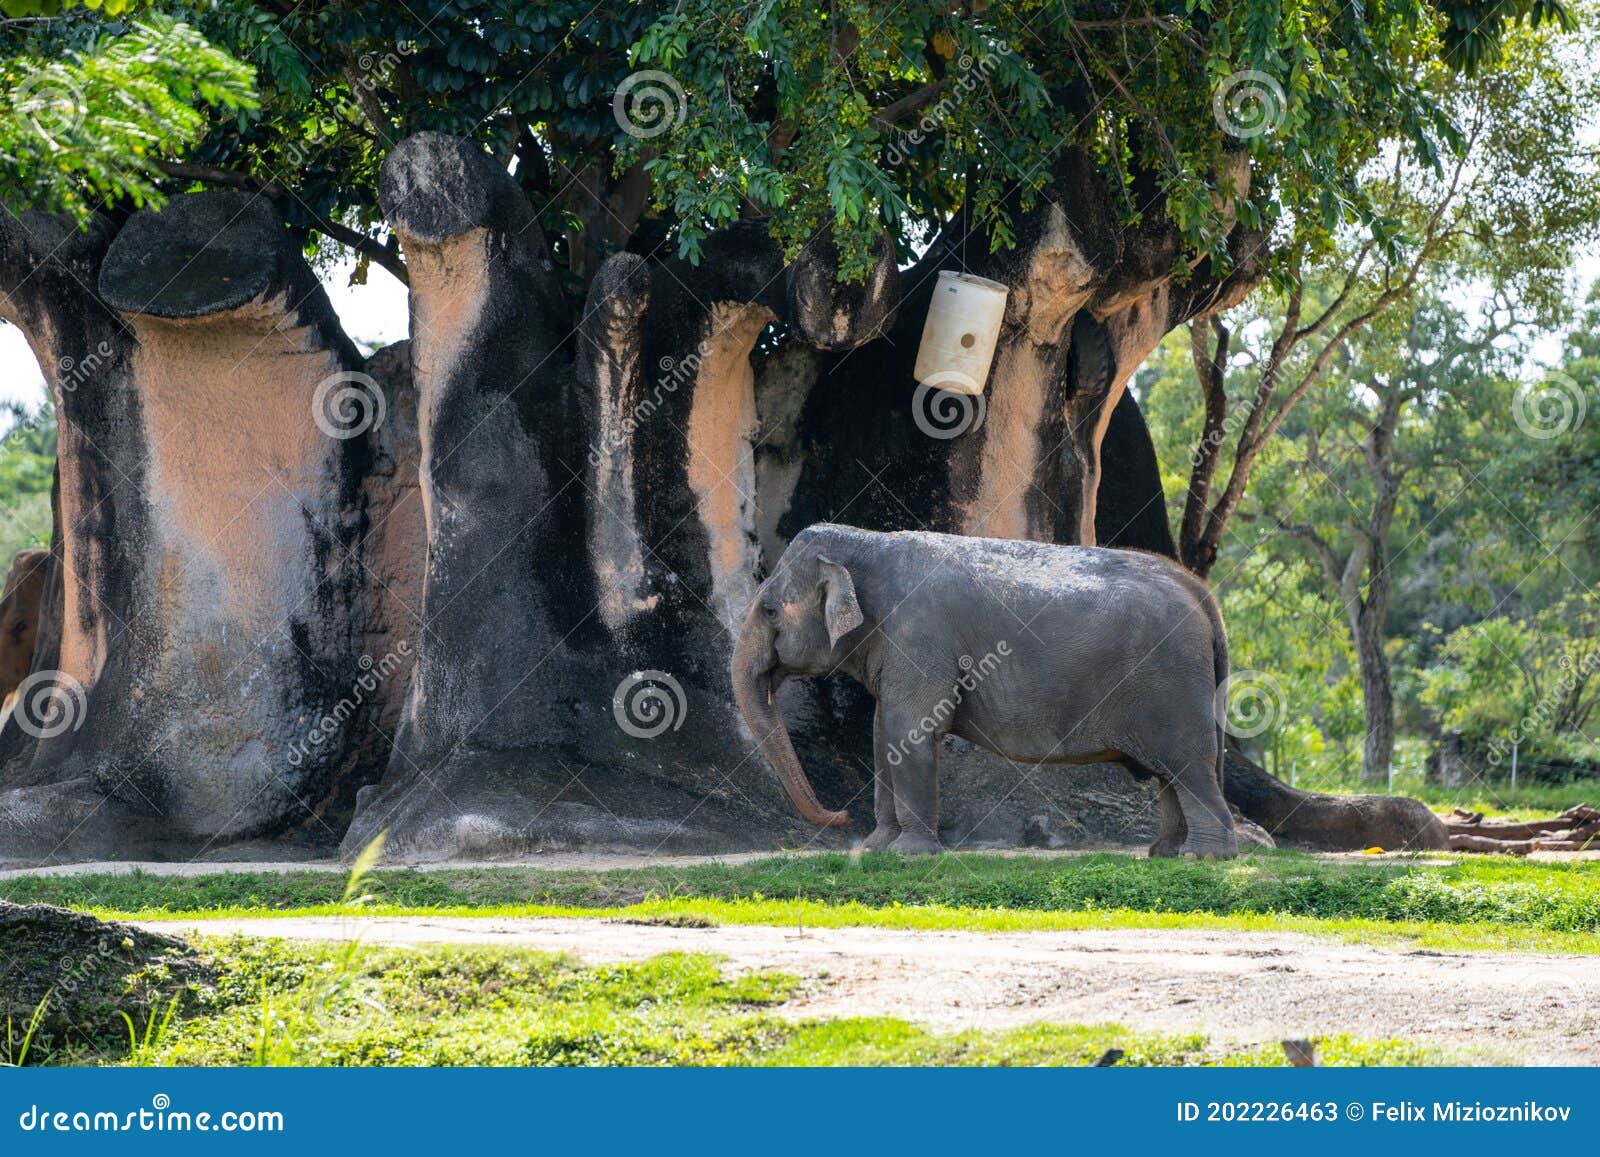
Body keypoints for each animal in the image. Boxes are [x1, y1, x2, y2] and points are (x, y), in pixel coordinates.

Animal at [730, 523, 1238, 858]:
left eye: (770, 610)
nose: (840, 817)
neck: (866, 543)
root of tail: (1199, 590)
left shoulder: (920, 638)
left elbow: (909, 731)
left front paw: (908, 854)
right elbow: (882, 734)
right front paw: (876, 848)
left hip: (1171, 685)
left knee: (1188, 766)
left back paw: (1205, 856)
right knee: (1173, 774)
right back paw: (1165, 853)